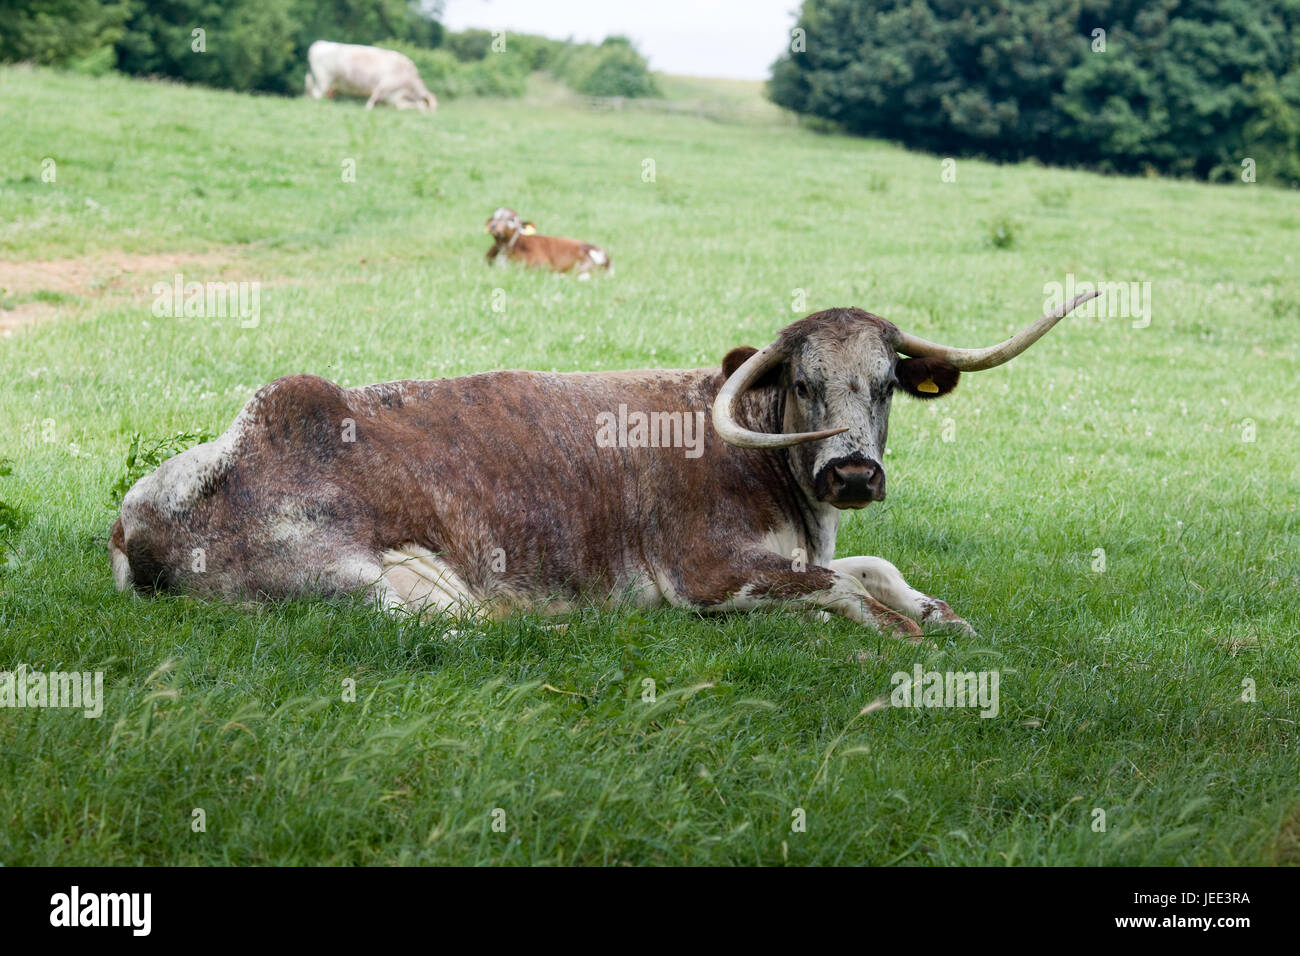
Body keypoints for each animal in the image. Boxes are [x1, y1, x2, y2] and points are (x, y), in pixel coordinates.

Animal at [110, 291, 1099, 641]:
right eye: (804, 383)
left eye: (886, 383)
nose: (852, 477)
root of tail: (134, 518)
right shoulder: (709, 575)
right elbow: (841, 590)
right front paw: (904, 635)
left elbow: (870, 567)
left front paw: (939, 612)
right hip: (397, 584)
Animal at [304, 41, 438, 113]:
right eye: (432, 109)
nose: (431, 116)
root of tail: (319, 44)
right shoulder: (384, 85)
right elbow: (373, 98)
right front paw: (367, 109)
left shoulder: (394, 97)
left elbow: (408, 105)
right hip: (324, 79)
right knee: (316, 94)